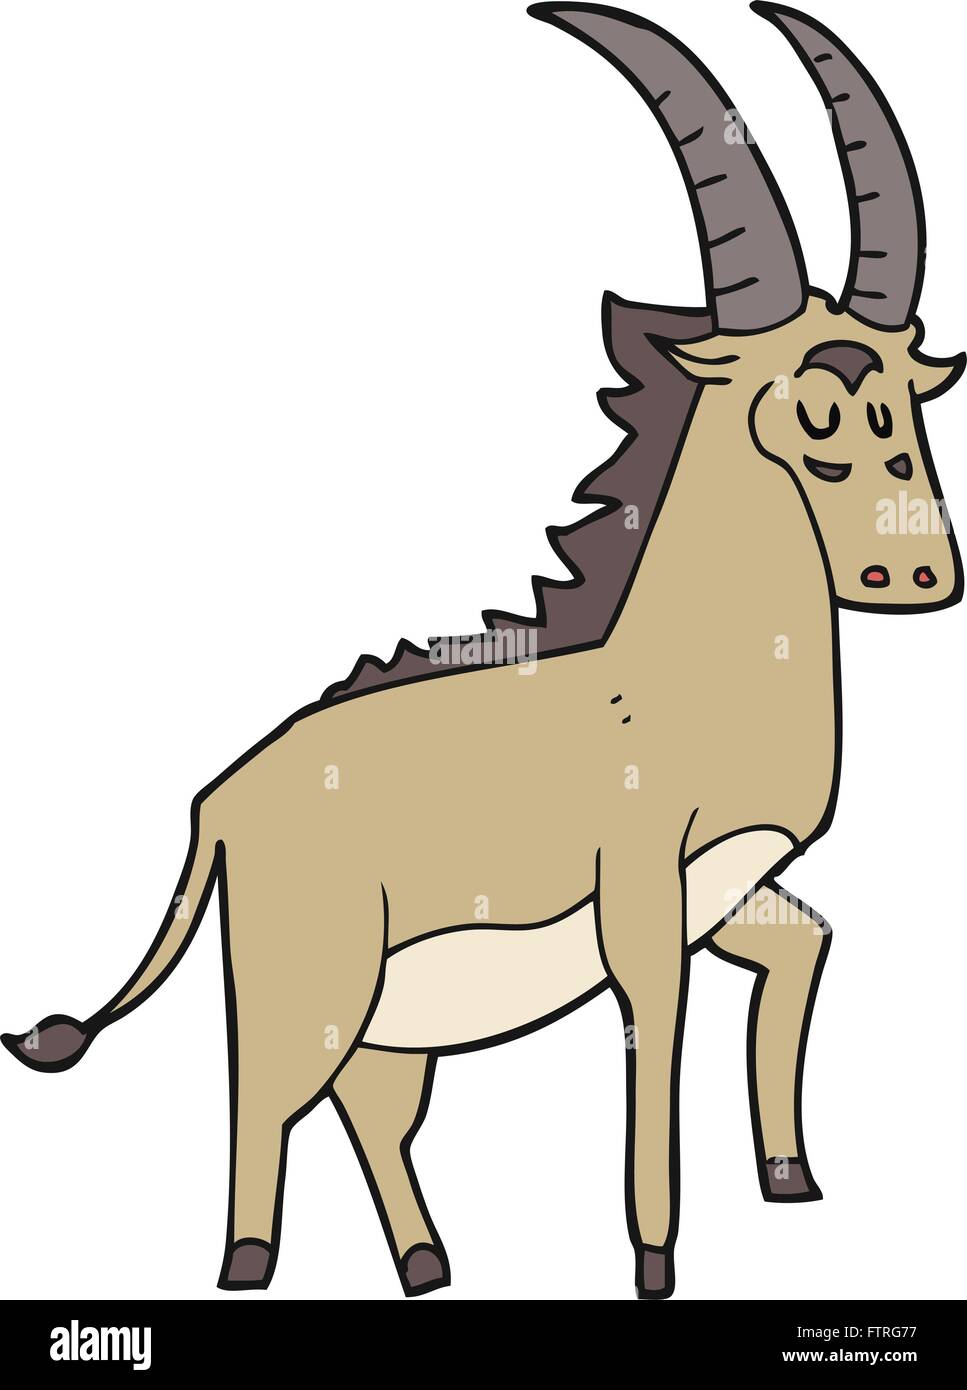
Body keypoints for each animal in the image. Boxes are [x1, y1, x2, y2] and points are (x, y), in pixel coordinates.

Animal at [5, 2, 963, 1299]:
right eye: (808, 410)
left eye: (906, 399)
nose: (913, 577)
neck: (665, 680)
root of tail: (217, 804)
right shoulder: (641, 904)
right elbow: (655, 1046)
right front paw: (653, 1260)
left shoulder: (728, 889)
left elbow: (808, 948)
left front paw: (790, 1177)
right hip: (308, 982)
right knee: (263, 1099)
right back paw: (249, 1263)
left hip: (388, 1020)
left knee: (366, 1104)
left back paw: (427, 1262)